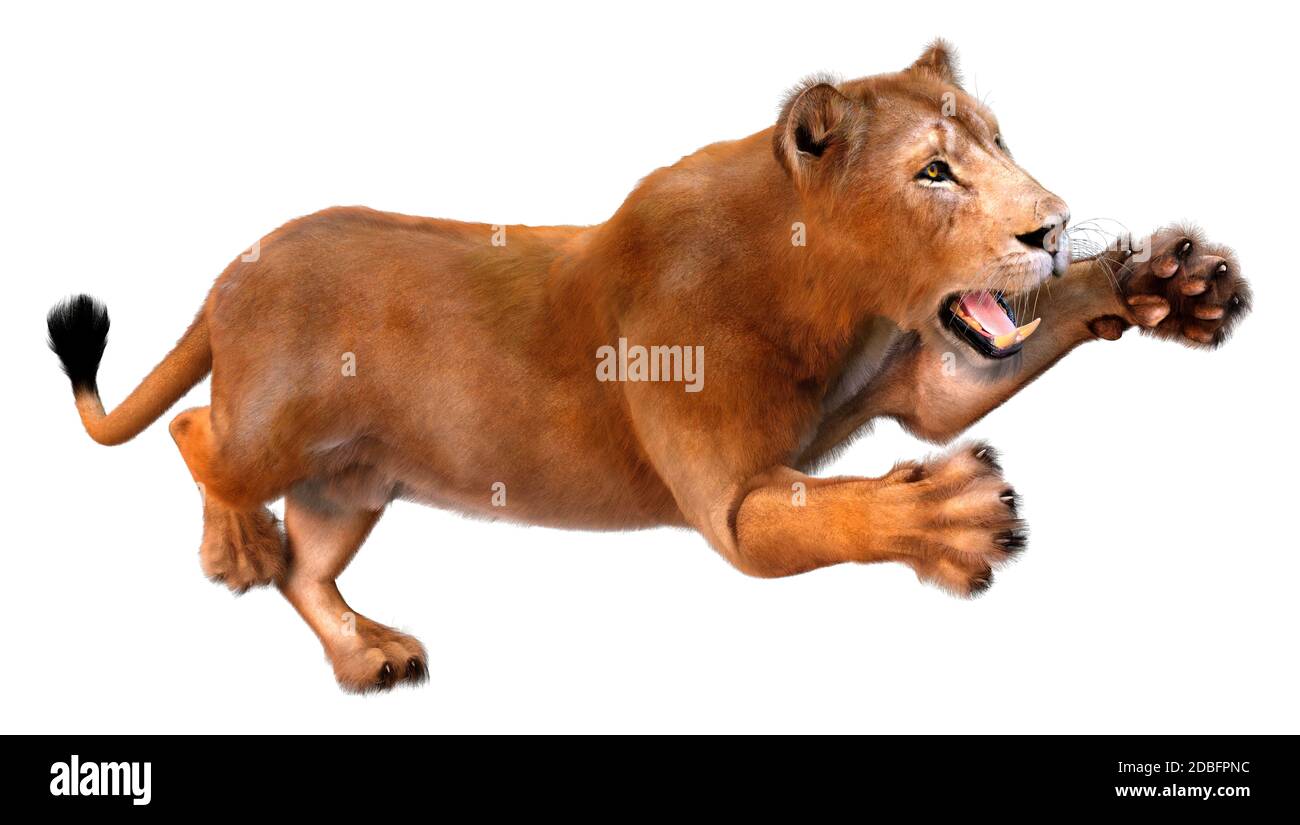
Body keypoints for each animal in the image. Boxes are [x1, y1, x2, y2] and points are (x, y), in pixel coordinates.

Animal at [47, 41, 1250, 692]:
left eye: (999, 139)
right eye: (935, 172)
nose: (1049, 224)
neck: (838, 298)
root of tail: (231, 272)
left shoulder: (930, 384)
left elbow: (1019, 342)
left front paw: (1166, 283)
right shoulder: (732, 502)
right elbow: (834, 512)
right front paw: (949, 516)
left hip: (354, 482)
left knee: (311, 567)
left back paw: (366, 656)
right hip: (276, 428)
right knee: (195, 437)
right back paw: (235, 546)